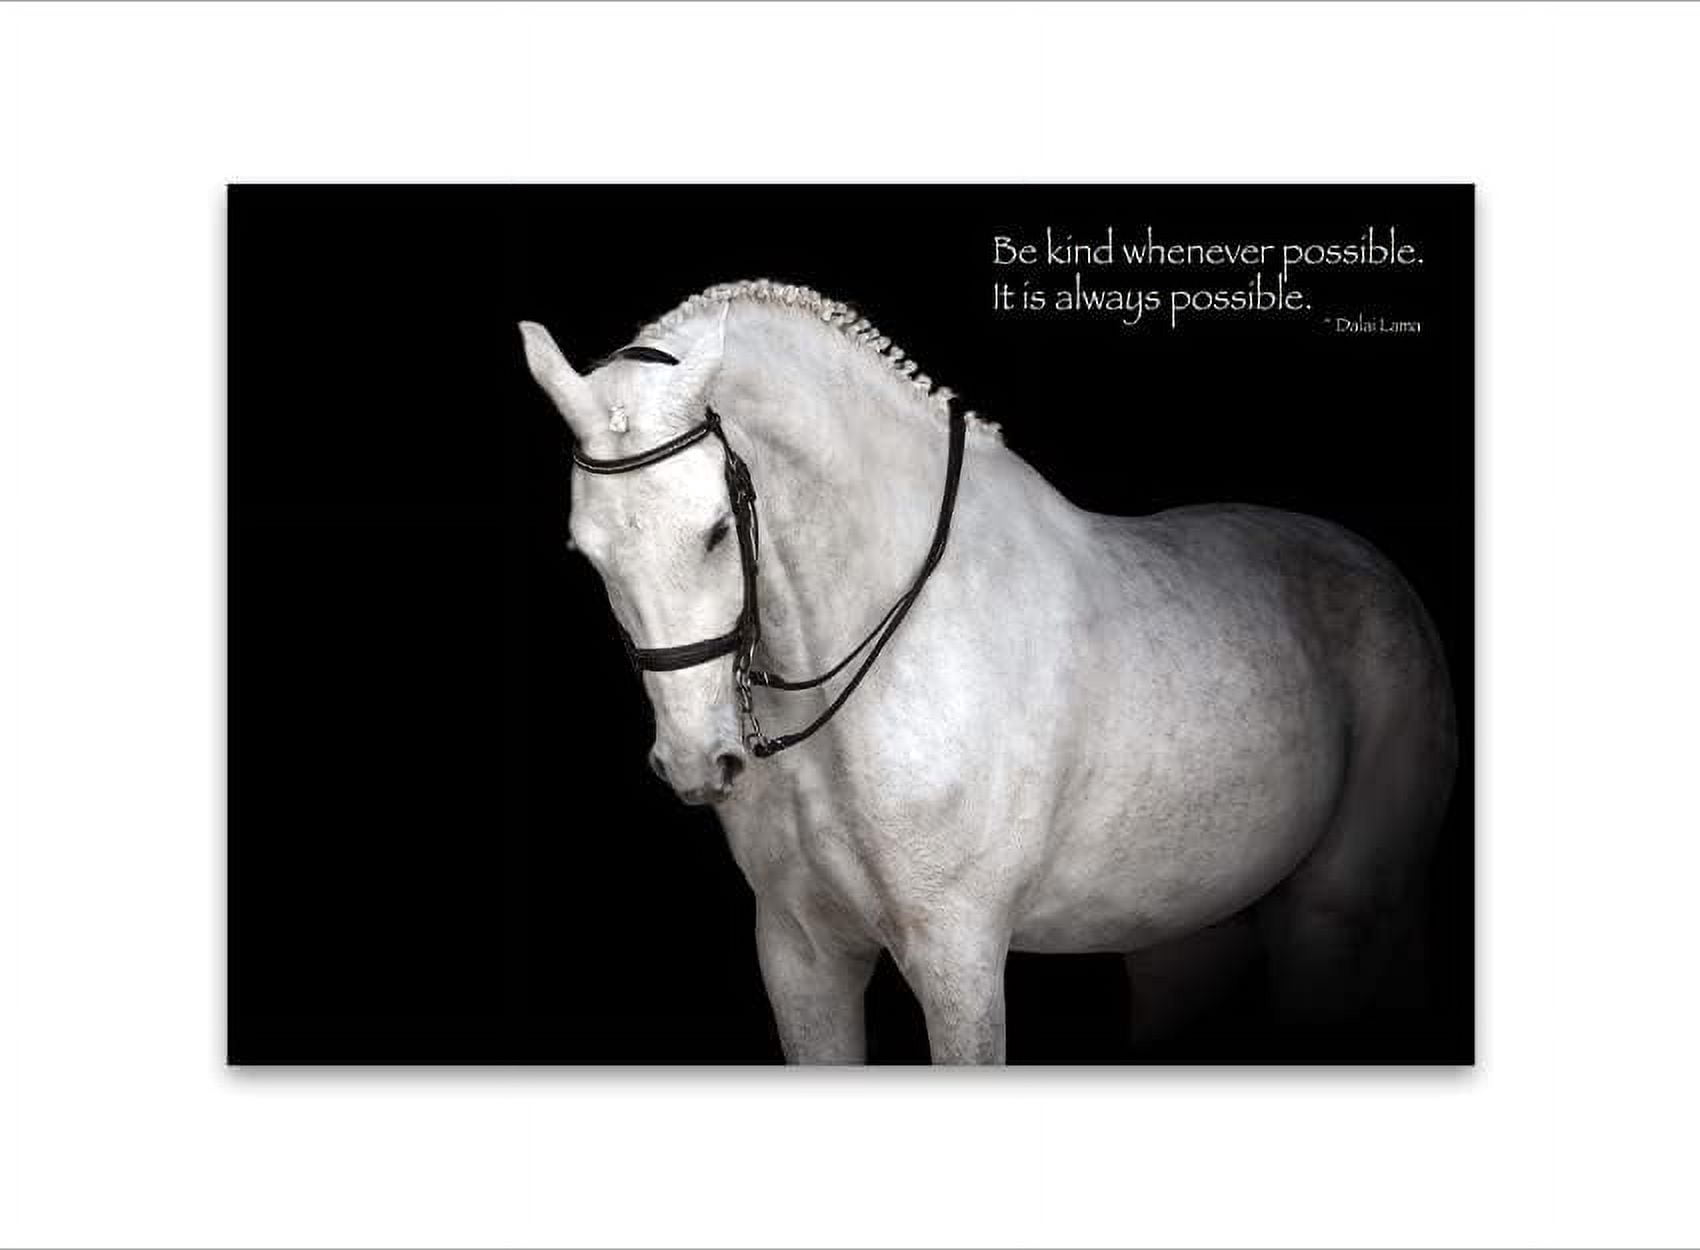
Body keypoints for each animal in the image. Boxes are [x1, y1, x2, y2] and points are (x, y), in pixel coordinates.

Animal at [520, 280, 1457, 1064]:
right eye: (585, 553)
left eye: (717, 530)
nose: (694, 761)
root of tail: (1379, 574)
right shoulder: (800, 954)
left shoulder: (958, 952)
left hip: (1336, 912)